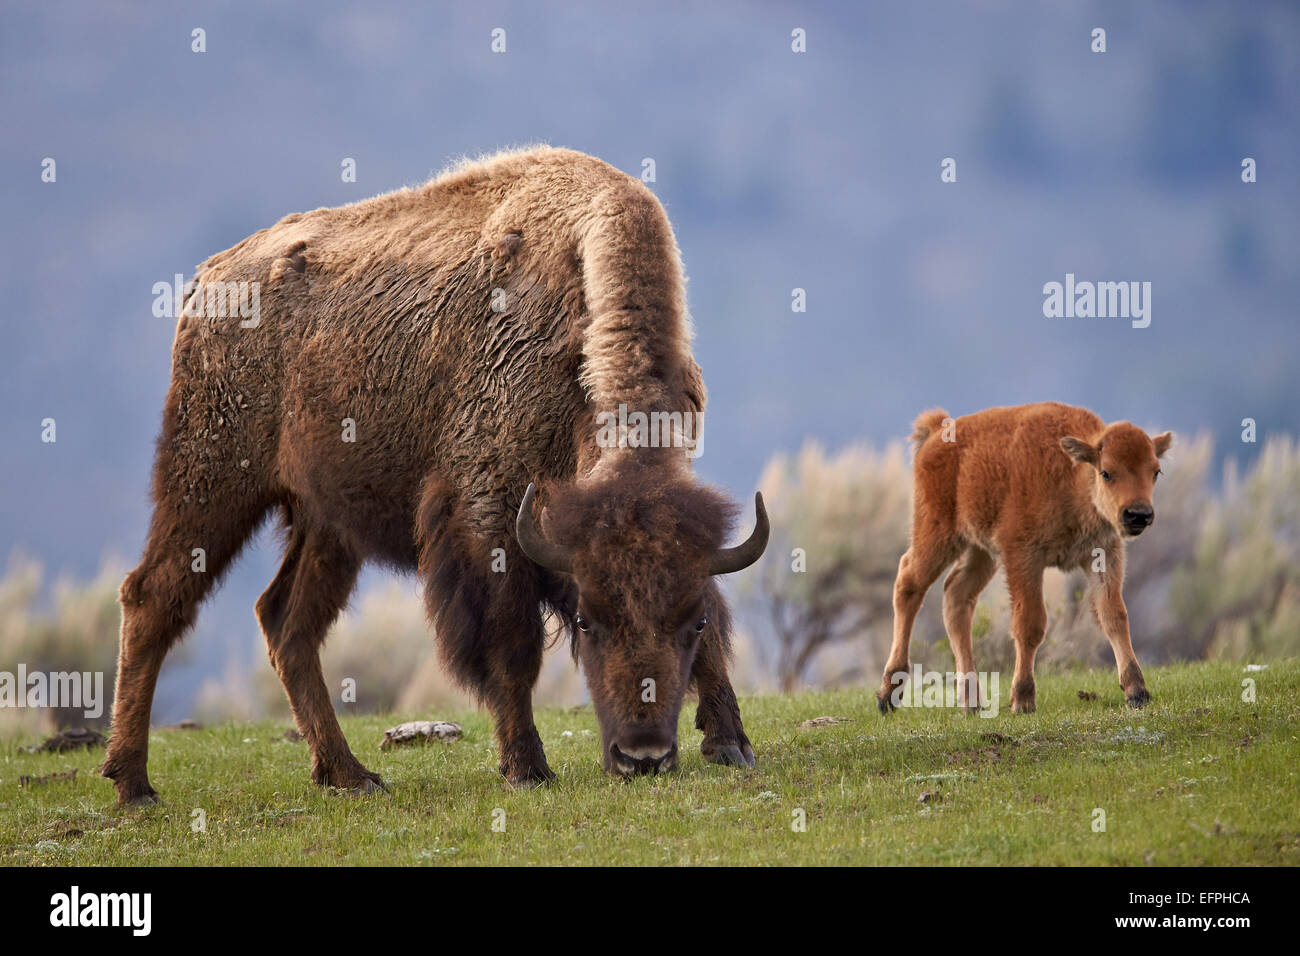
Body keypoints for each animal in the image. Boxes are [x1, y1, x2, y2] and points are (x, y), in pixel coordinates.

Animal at [103, 146, 768, 806]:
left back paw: (349, 775)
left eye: (691, 621)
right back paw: (134, 783)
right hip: (211, 482)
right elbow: (511, 644)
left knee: (286, 622)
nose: (643, 757)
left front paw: (731, 744)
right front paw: (526, 767)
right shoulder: (487, 515)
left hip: (327, 525)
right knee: (151, 596)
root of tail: (206, 283)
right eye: (586, 620)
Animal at [876, 402, 1173, 716]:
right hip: (938, 535)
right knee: (908, 583)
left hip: (981, 551)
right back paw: (887, 695)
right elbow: (1030, 623)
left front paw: (1137, 692)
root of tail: (935, 432)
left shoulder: (1104, 554)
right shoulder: (1023, 556)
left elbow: (1114, 615)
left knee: (956, 595)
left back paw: (971, 701)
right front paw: (1023, 699)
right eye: (1106, 472)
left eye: (1156, 471)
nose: (1138, 514)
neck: (1071, 474)